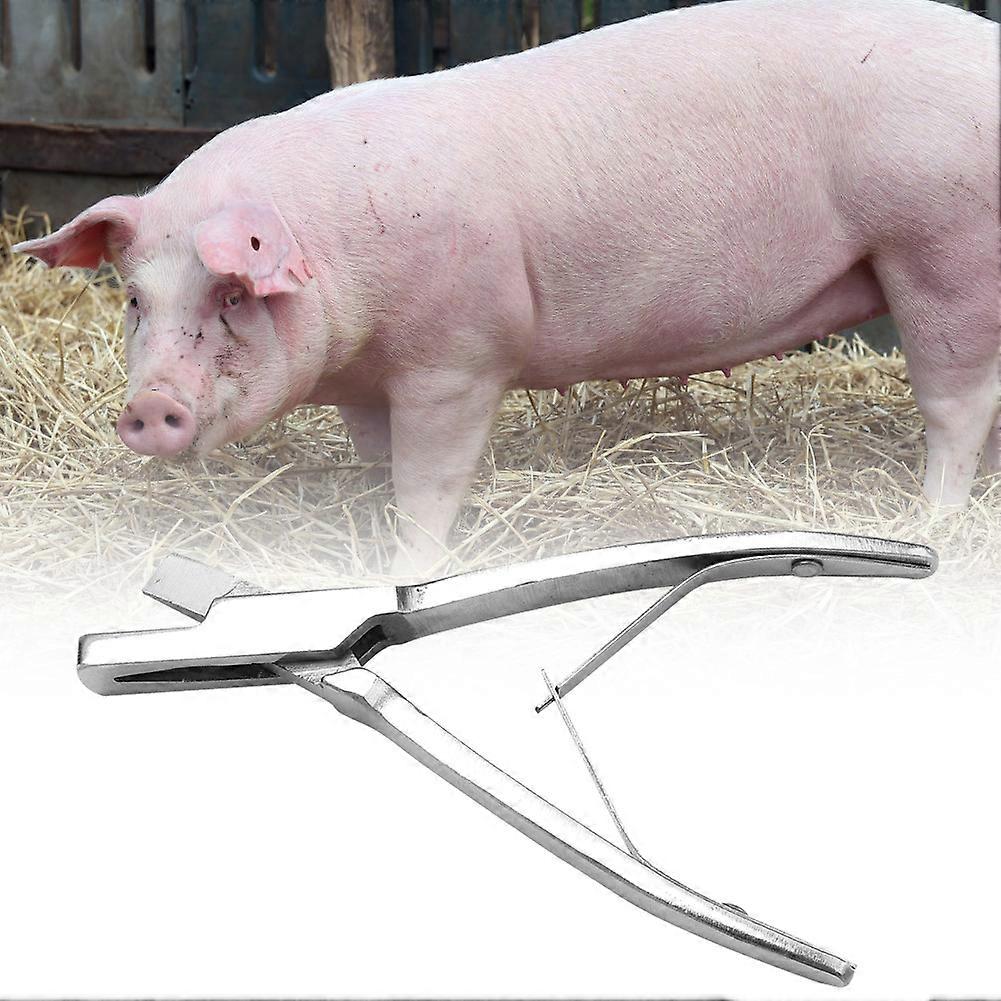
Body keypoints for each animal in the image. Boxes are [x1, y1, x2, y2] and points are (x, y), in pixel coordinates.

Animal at [13, 0, 1000, 574]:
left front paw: (412, 561)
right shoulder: (369, 382)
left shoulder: (456, 359)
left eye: (230, 297)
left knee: (955, 403)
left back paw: (930, 516)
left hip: (940, 249)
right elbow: (379, 463)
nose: (149, 407)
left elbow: (431, 479)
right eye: (136, 301)